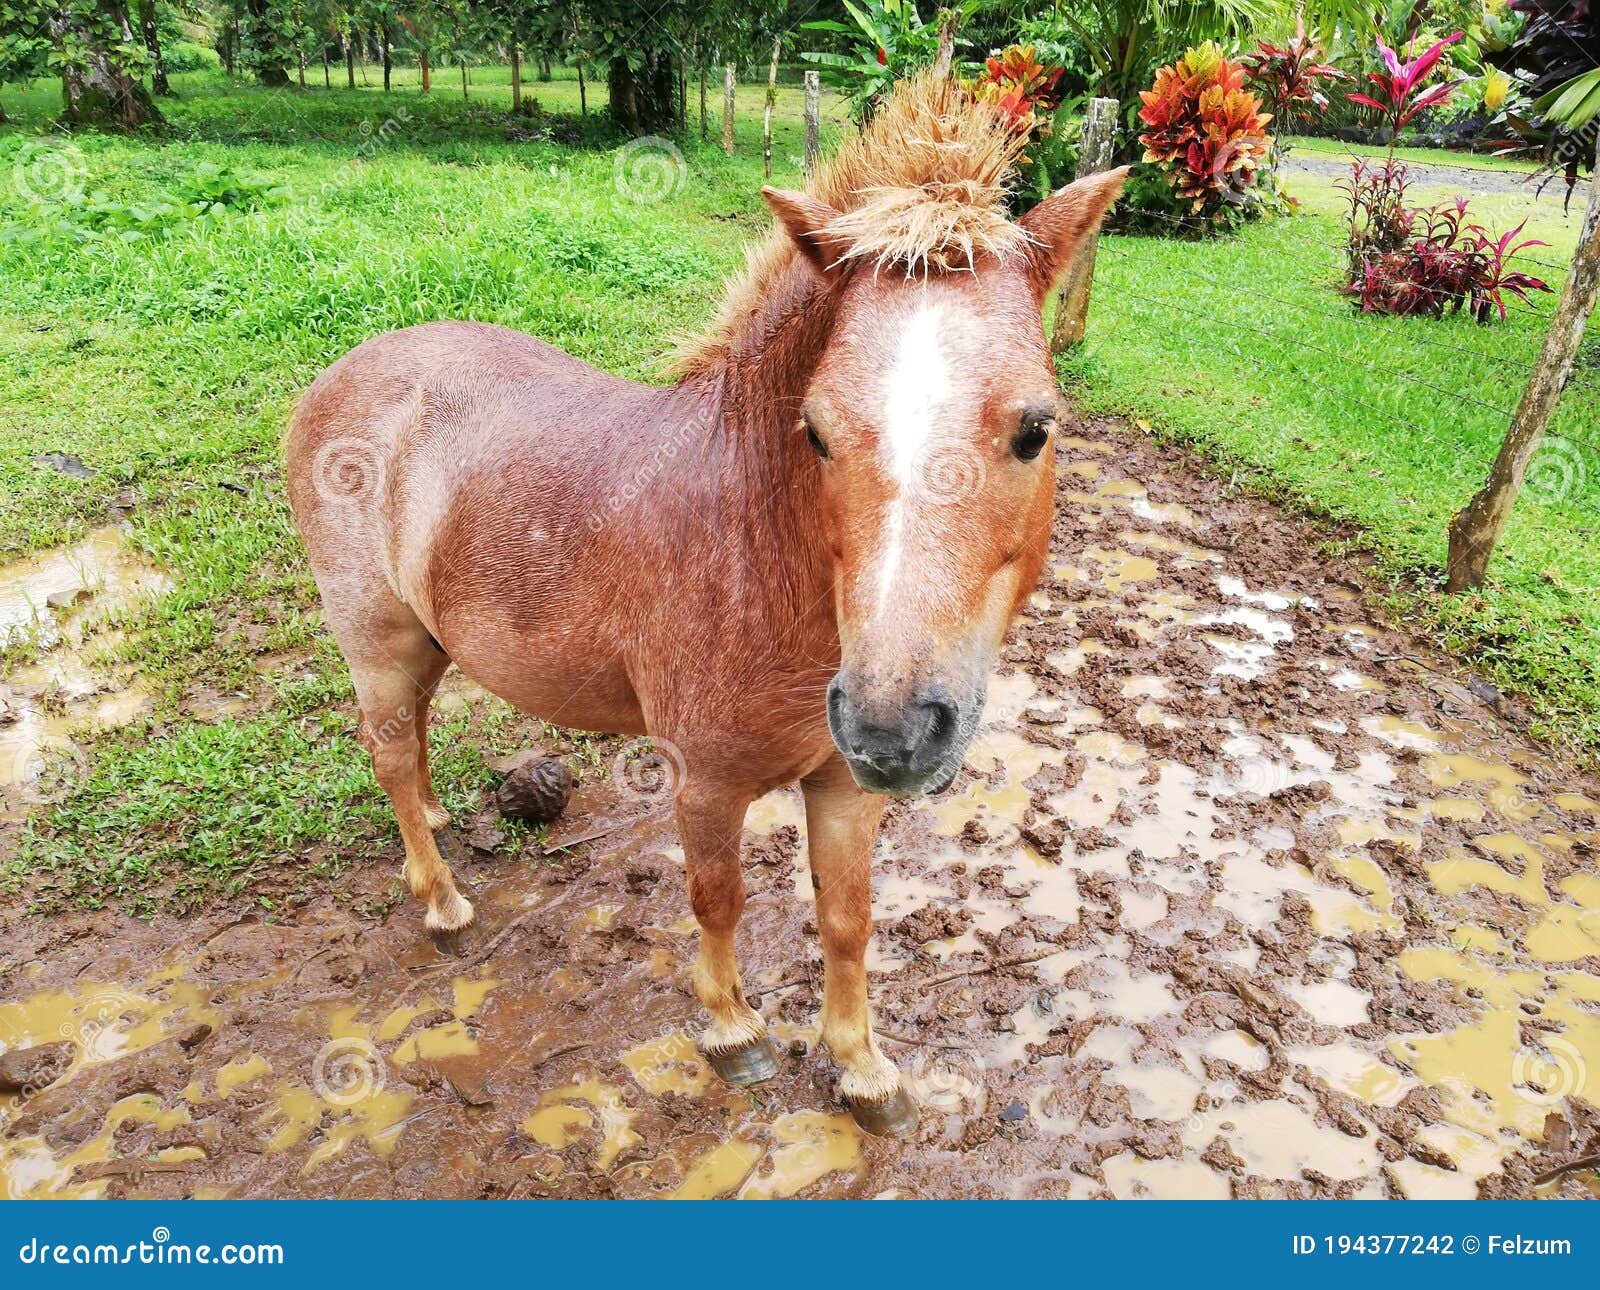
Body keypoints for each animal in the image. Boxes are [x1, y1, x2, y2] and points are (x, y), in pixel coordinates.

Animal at [285, 74, 1126, 1137]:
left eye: (1035, 428)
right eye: (816, 429)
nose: (892, 725)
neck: (760, 557)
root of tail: (345, 371)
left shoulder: (845, 787)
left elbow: (847, 921)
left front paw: (863, 1070)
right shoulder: (703, 782)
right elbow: (717, 899)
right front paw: (732, 1032)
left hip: (432, 640)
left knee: (416, 742)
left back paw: (433, 825)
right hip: (377, 637)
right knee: (391, 750)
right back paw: (440, 903)